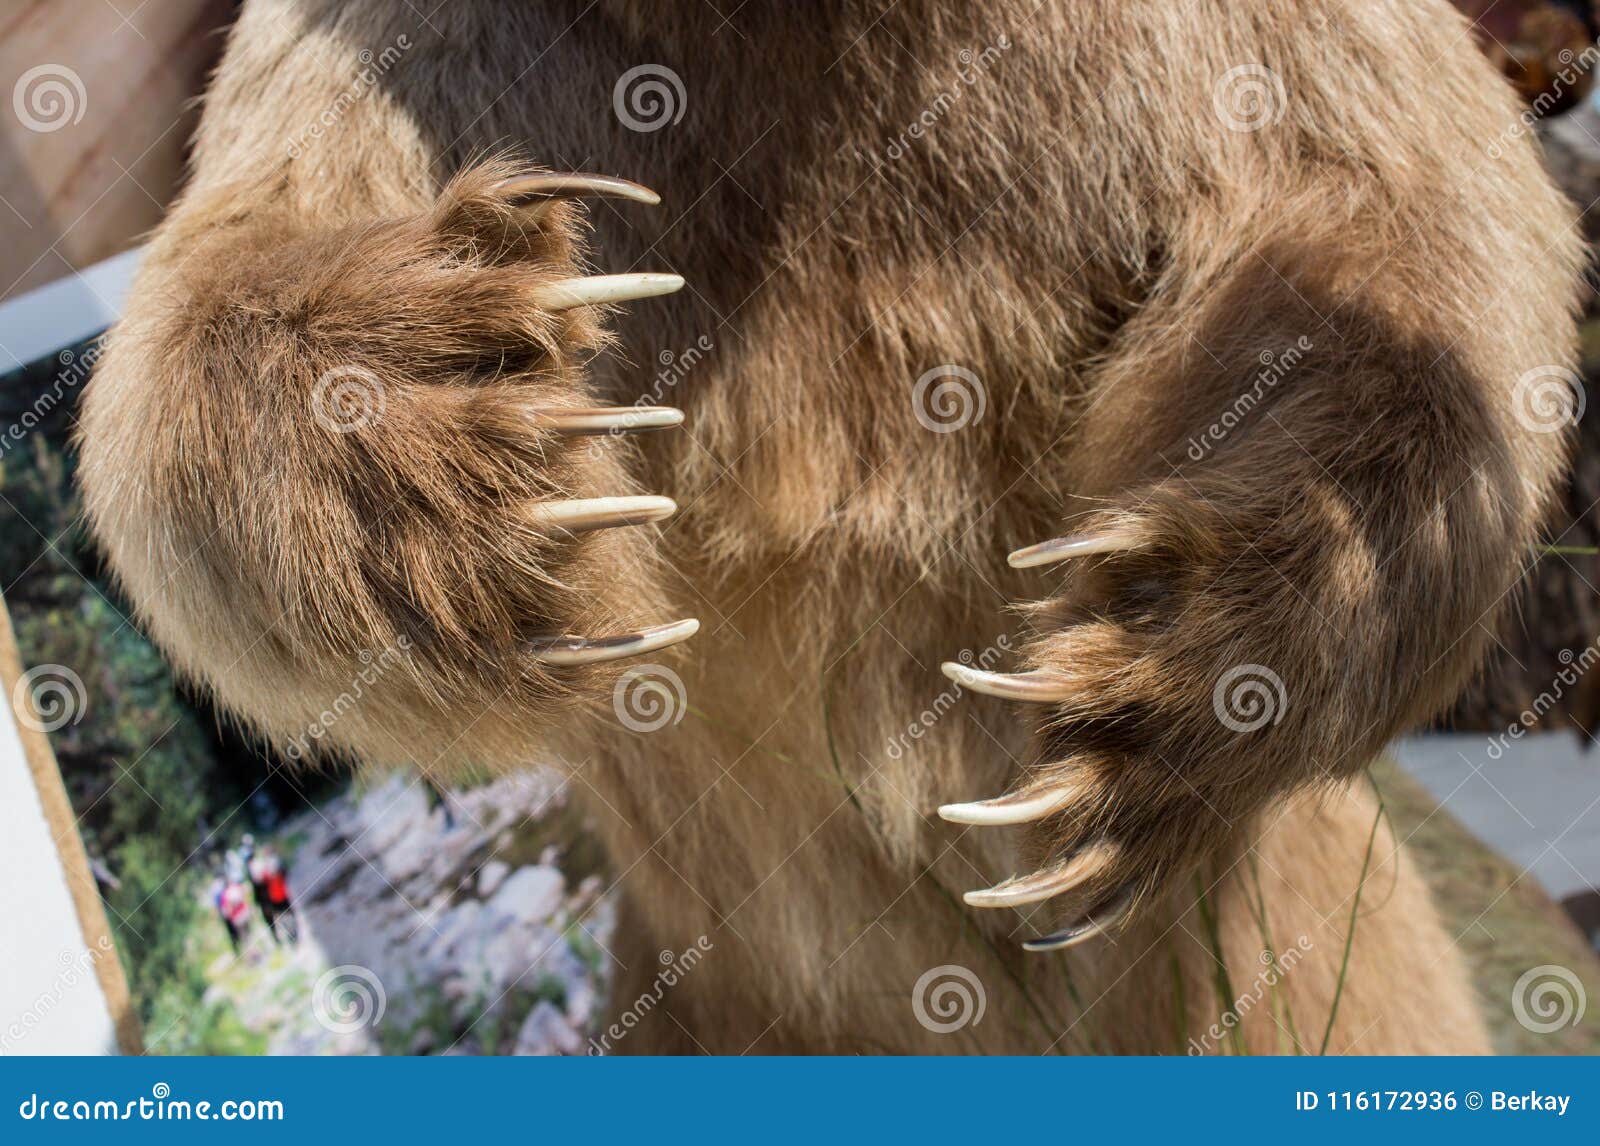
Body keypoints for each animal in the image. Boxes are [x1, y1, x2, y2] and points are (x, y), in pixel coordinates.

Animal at [76, 0, 1583, 1053]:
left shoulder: (1146, 70)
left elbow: (1415, 210)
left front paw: (1156, 663)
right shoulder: (469, 64)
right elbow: (214, 290)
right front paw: (478, 437)